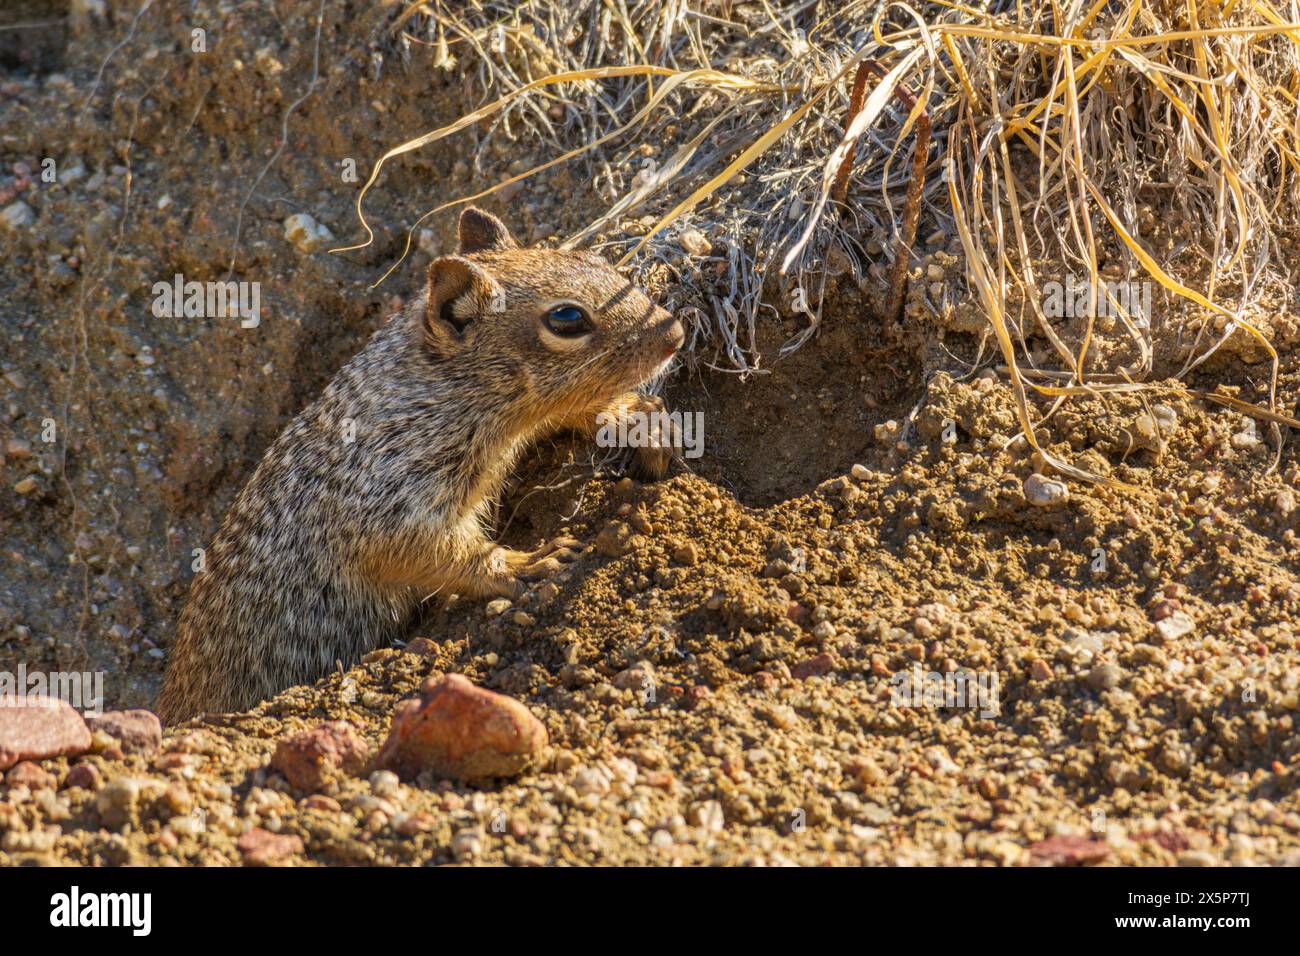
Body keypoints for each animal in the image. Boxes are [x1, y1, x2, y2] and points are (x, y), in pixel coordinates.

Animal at [156, 207, 684, 723]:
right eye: (567, 317)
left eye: (599, 262)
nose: (675, 333)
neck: (436, 388)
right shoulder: (390, 492)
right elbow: (429, 548)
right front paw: (525, 561)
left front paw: (638, 419)